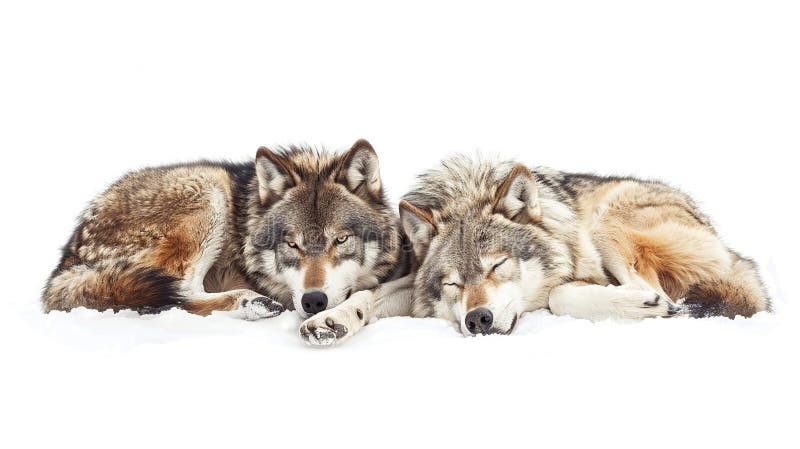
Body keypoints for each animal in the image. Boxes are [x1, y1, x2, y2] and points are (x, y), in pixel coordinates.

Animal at [42, 139, 405, 320]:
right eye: (292, 245)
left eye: (340, 239)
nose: (313, 301)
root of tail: (67, 261)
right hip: (208, 187)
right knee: (180, 292)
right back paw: (251, 303)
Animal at [300, 155, 770, 344]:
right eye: (453, 284)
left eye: (498, 266)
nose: (478, 319)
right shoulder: (413, 285)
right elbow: (369, 295)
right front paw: (330, 320)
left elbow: (560, 294)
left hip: (609, 221)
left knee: (658, 291)